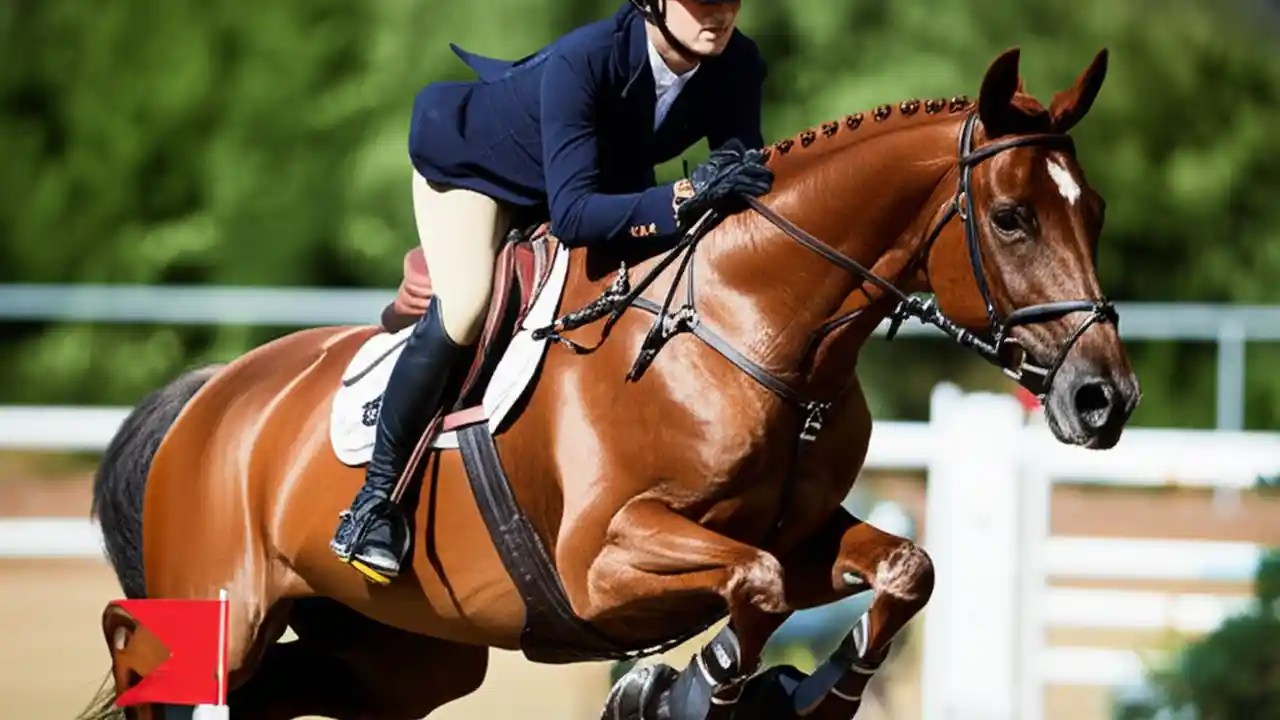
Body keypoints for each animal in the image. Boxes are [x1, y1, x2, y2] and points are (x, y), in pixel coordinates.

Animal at [79, 47, 1138, 720]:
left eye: (1095, 212)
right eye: (1010, 218)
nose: (1104, 400)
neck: (755, 333)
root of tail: (211, 395)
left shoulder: (800, 536)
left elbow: (902, 571)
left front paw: (806, 698)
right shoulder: (605, 561)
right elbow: (750, 591)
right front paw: (678, 691)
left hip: (402, 656)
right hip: (228, 601)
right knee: (153, 651)